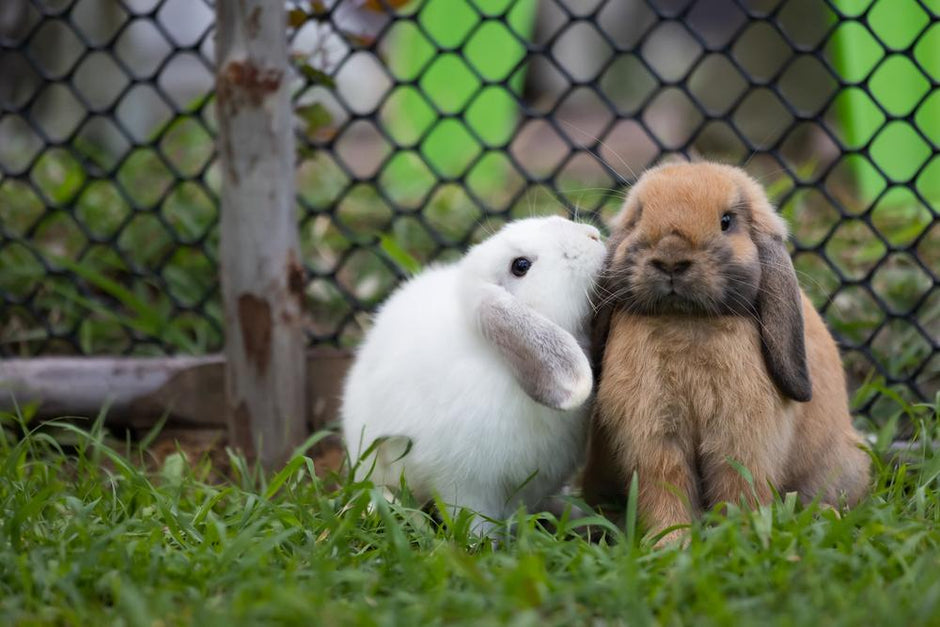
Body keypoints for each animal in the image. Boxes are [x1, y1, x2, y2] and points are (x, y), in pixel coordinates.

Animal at [342, 215, 607, 535]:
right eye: (521, 266)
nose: (593, 235)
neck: (501, 362)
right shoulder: (467, 485)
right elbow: (473, 519)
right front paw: (480, 544)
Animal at [582, 161, 870, 543]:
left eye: (727, 221)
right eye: (639, 216)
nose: (671, 259)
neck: (686, 321)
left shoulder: (741, 439)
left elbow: (738, 487)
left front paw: (739, 536)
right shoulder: (655, 436)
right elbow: (666, 487)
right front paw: (671, 541)